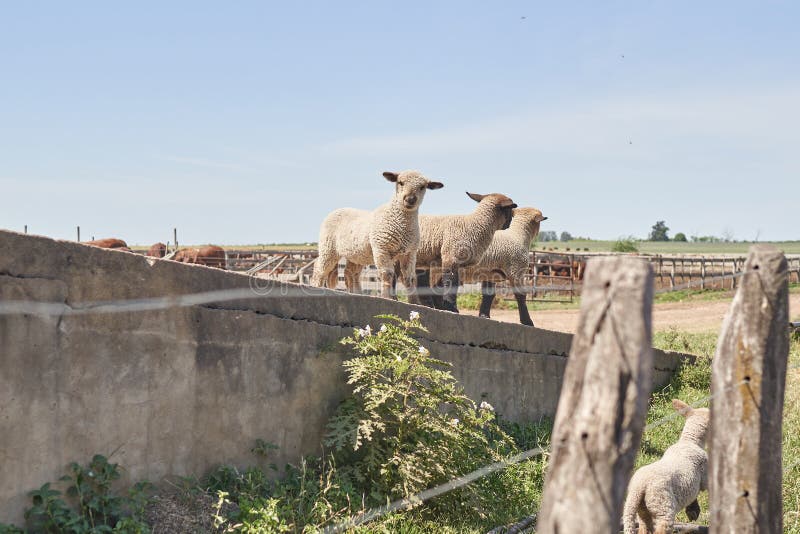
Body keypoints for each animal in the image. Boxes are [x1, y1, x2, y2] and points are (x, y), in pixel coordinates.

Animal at [311, 170, 443, 301]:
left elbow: (409, 278)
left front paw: (414, 302)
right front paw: (386, 297)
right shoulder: (382, 248)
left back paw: (357, 293)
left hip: (356, 253)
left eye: (423, 187)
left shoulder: (410, 253)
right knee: (320, 267)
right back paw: (316, 287)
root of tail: (336, 211)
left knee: (350, 272)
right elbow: (387, 274)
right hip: (328, 247)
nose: (410, 199)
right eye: (400, 182)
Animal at [622, 399, 710, 534]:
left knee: (644, 527)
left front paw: (693, 512)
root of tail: (637, 489)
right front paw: (694, 511)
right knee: (661, 528)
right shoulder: (703, 473)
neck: (690, 441)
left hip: (643, 509)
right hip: (662, 505)